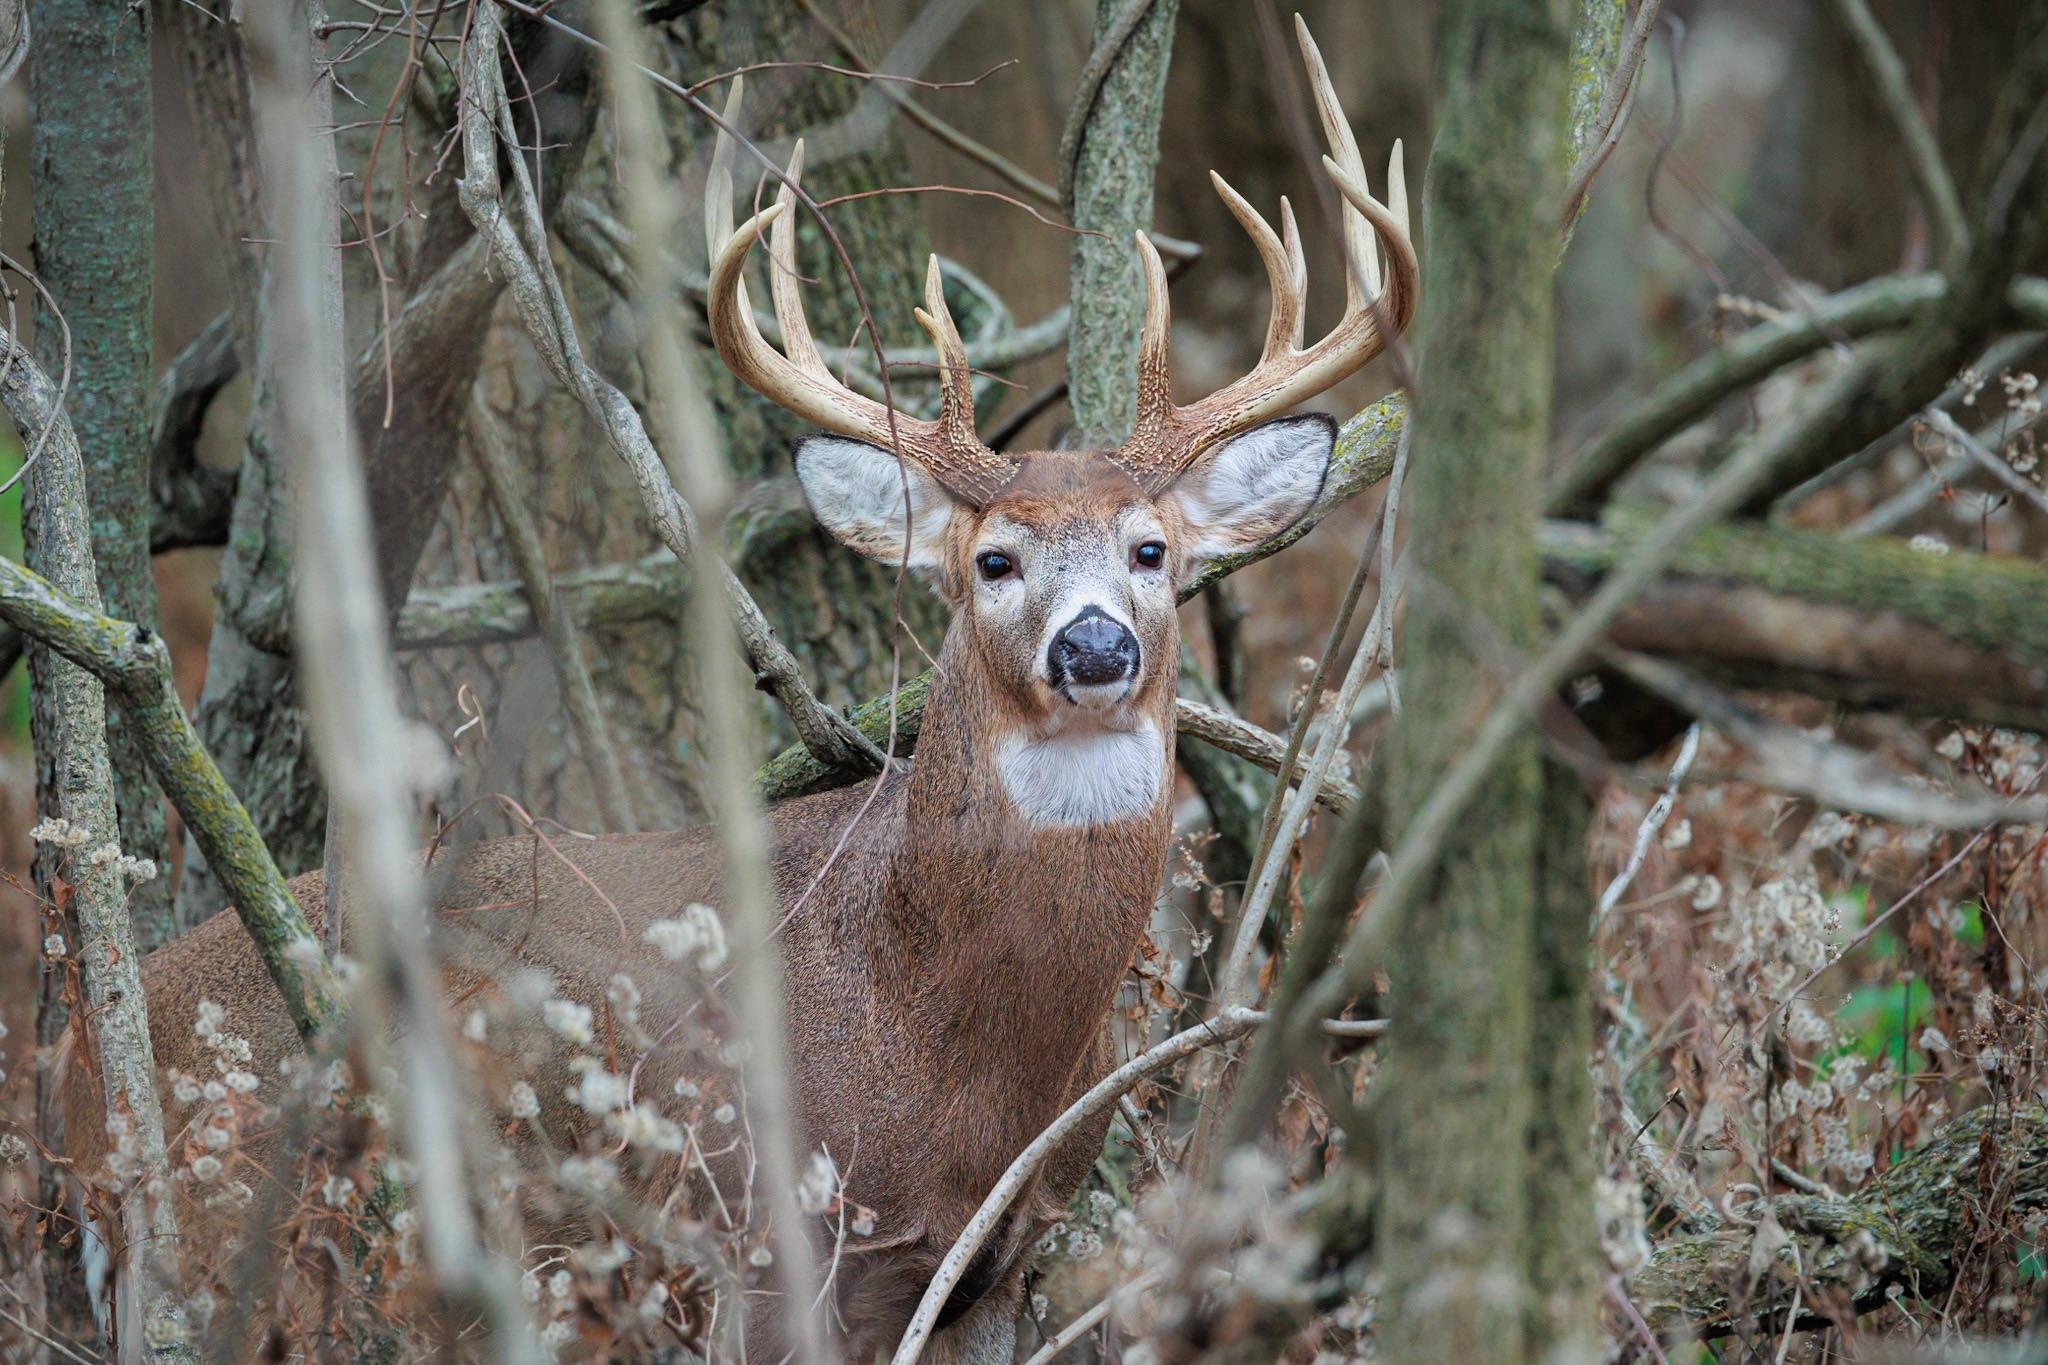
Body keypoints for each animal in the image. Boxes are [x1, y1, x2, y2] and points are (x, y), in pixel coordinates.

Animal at [57, 19, 1414, 1364]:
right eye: (992, 561)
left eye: (1152, 552)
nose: (1091, 651)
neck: (949, 1043)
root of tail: (85, 1073)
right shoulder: (768, 1238)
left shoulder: (998, 1257)